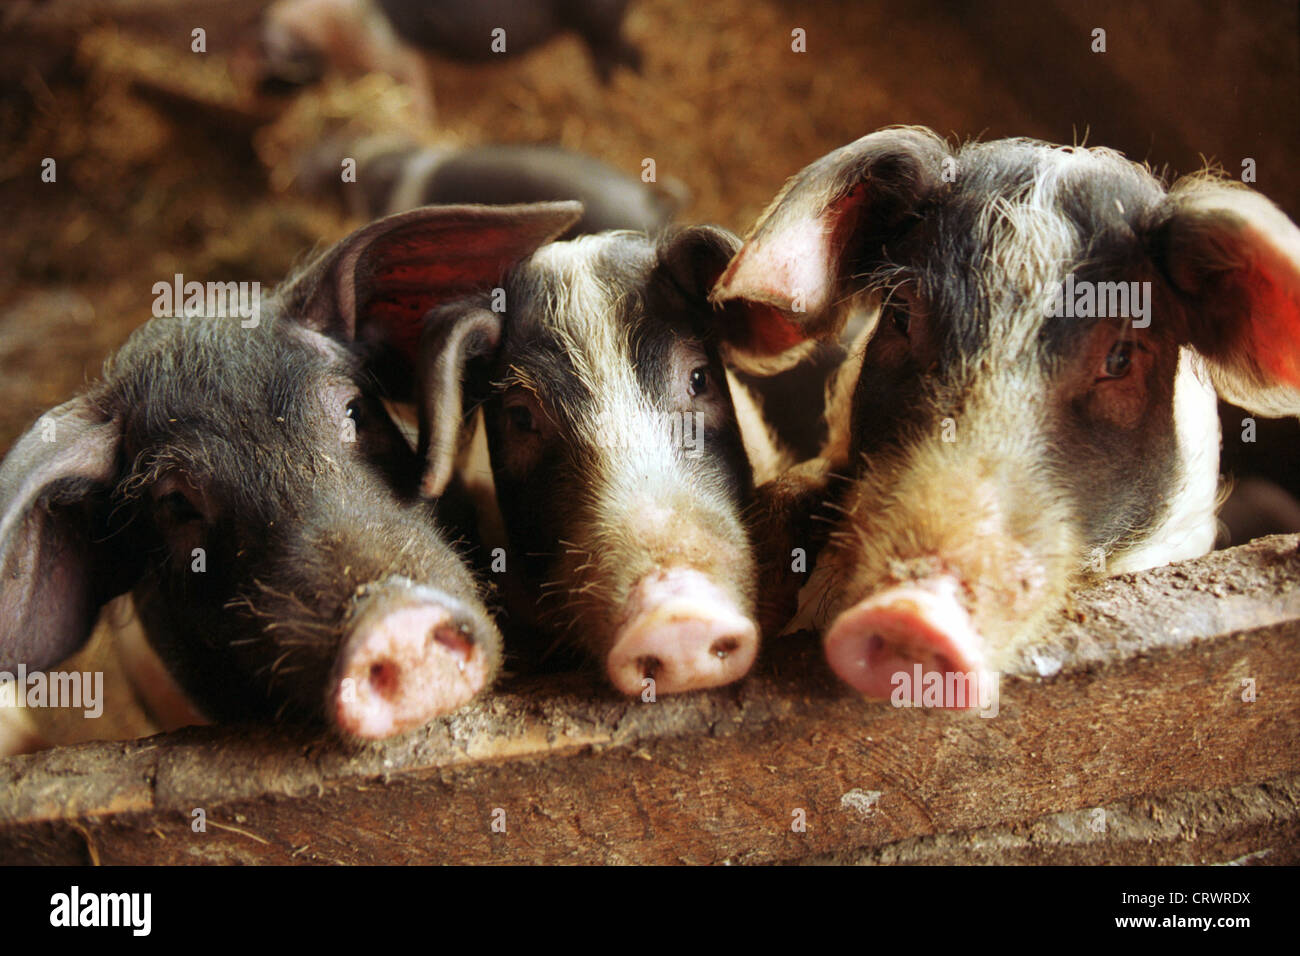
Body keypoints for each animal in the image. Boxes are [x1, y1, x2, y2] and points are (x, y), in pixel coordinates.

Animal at [254, 0, 641, 117]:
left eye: (281, 67)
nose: (258, 90)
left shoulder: (392, 51)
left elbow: (415, 85)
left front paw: (423, 121)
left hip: (598, 20)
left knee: (610, 53)